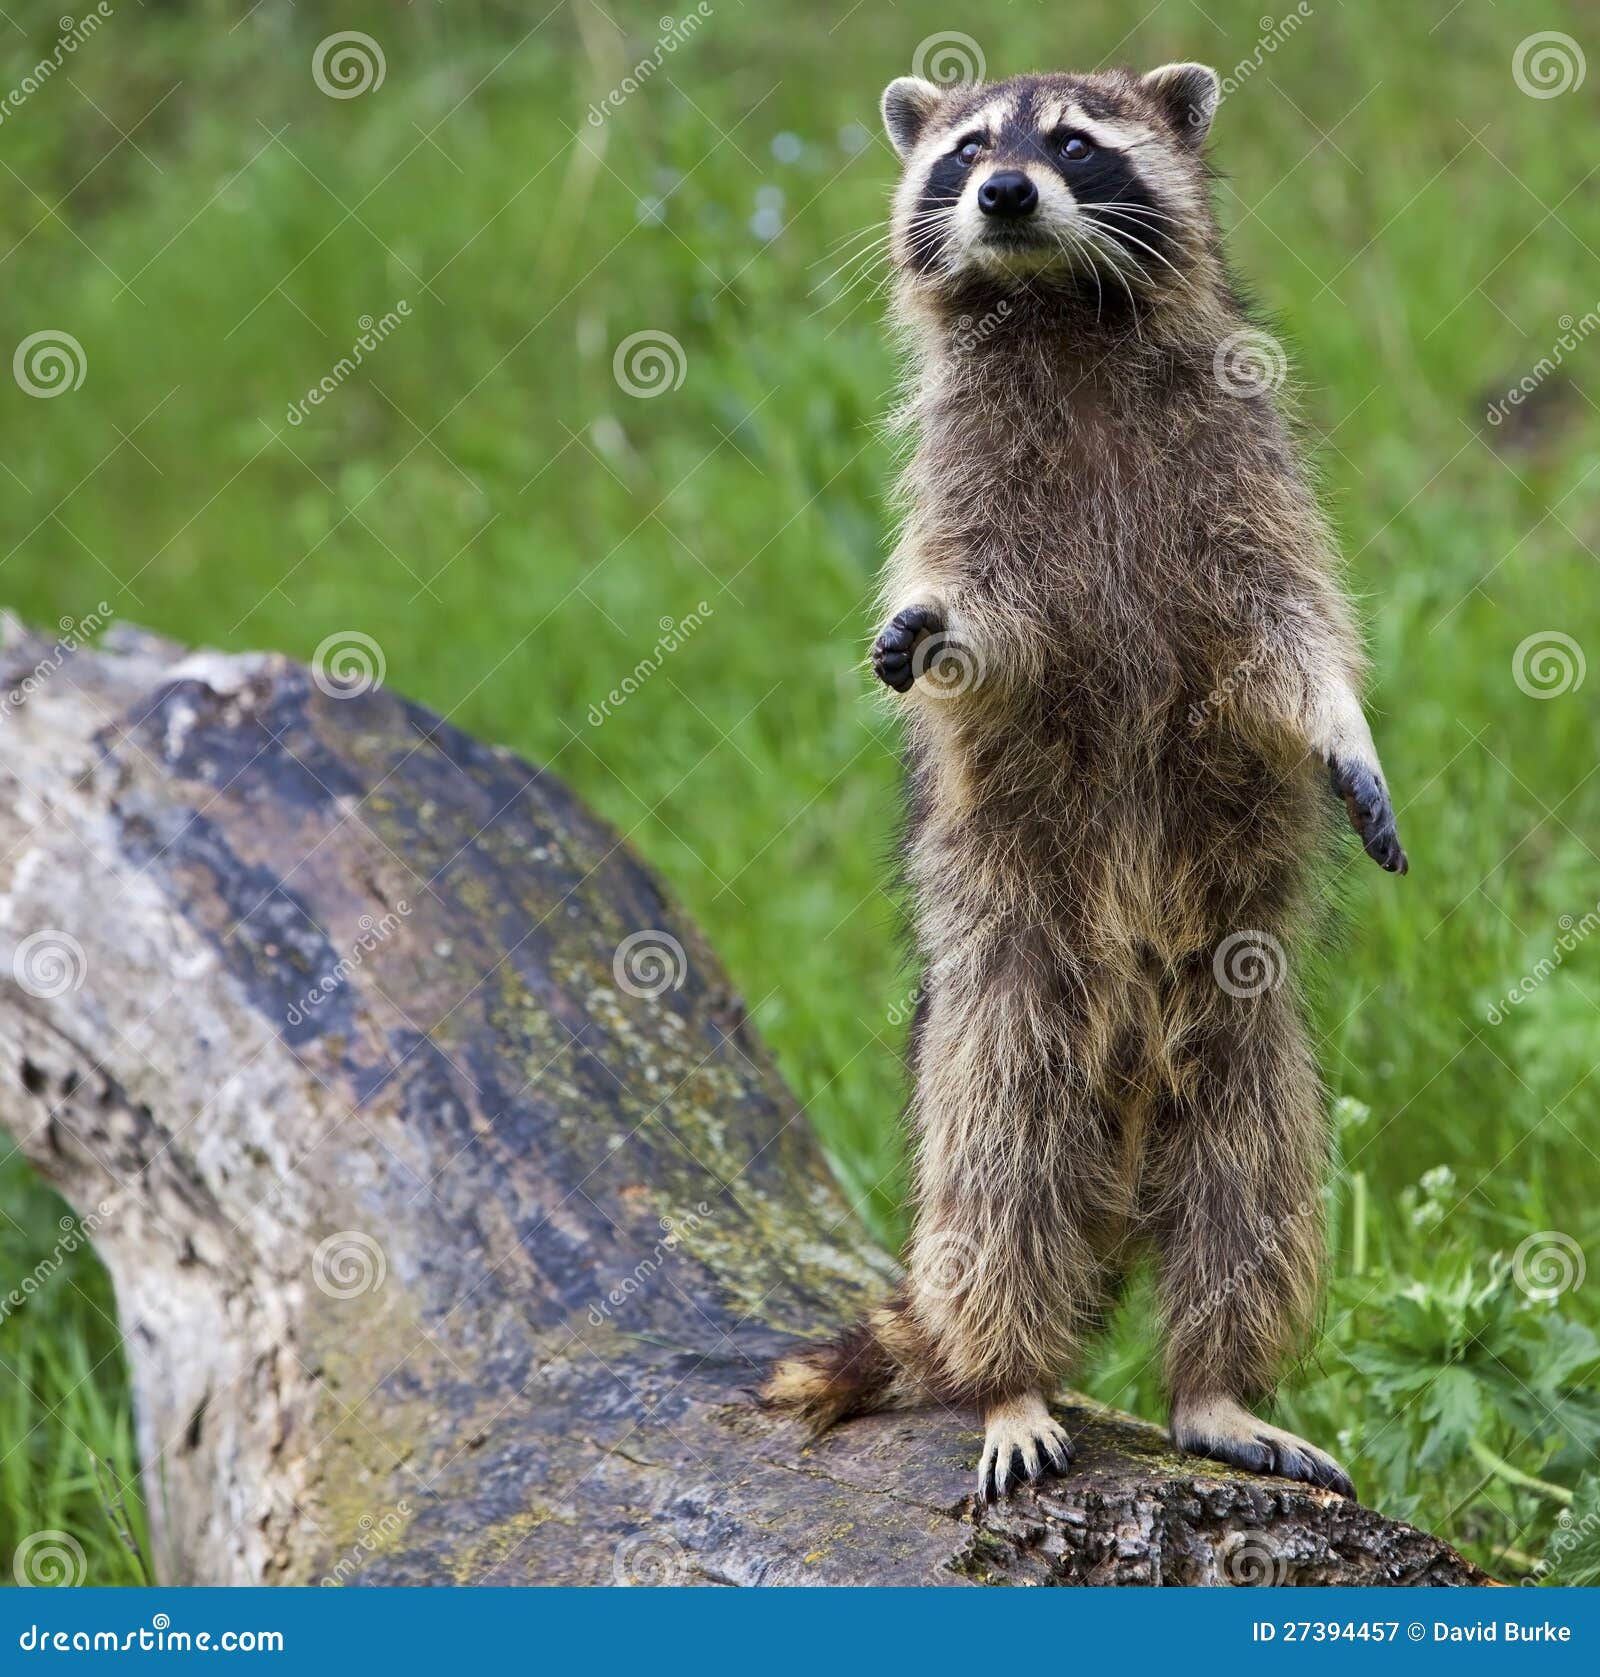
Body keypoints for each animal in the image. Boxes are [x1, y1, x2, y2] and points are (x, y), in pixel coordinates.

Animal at [763, 63, 1407, 1503]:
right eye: (964, 151)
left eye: (1071, 143)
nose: (1006, 191)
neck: (1062, 312)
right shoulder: (969, 496)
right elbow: (989, 642)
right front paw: (940, 630)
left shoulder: (1245, 470)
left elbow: (1294, 637)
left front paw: (1346, 730)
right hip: (997, 1019)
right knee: (997, 1196)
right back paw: (1006, 1375)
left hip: (1253, 1045)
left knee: (1250, 1211)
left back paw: (1215, 1385)